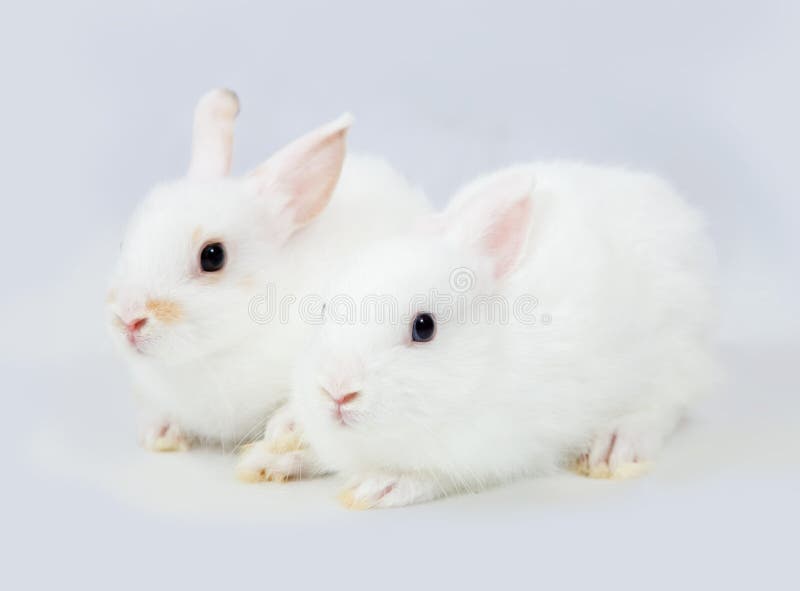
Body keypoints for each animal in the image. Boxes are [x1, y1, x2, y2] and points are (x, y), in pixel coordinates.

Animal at [236, 161, 719, 508]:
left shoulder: (494, 451)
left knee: (663, 405)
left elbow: (431, 476)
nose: (337, 392)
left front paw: (380, 487)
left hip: (674, 357)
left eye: (424, 327)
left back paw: (613, 448)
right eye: (322, 309)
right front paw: (272, 453)